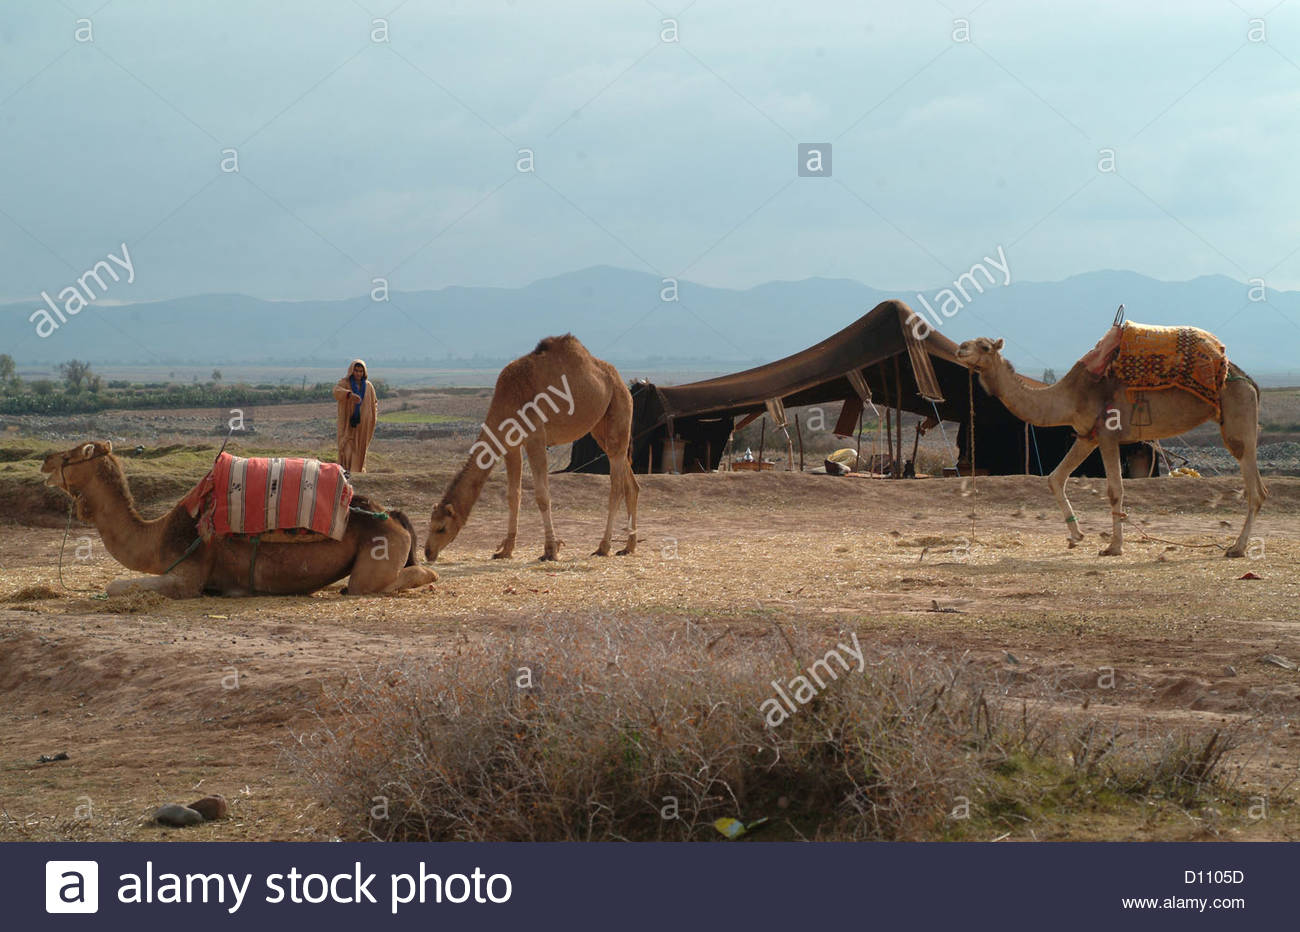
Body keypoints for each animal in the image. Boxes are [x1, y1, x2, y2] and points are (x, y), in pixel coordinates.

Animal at [42, 441, 438, 597]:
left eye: (71, 455)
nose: (45, 460)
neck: (158, 537)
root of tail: (395, 516)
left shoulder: (187, 576)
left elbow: (114, 586)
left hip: (377, 554)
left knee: (381, 582)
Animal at [425, 334, 638, 562]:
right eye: (430, 525)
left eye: (441, 528)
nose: (428, 552)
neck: (507, 399)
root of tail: (621, 381)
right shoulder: (511, 444)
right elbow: (513, 495)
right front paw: (505, 550)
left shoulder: (535, 437)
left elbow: (542, 496)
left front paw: (551, 550)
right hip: (601, 427)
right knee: (630, 483)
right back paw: (628, 546)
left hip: (619, 407)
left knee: (616, 485)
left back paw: (603, 547)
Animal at [956, 336, 1266, 557]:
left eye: (984, 346)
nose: (960, 349)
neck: (1069, 397)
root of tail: (1251, 382)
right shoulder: (1086, 436)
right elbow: (1055, 478)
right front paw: (1076, 536)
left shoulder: (1107, 435)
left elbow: (1115, 490)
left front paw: (1113, 547)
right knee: (1260, 489)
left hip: (1238, 420)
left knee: (1255, 489)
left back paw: (1237, 549)